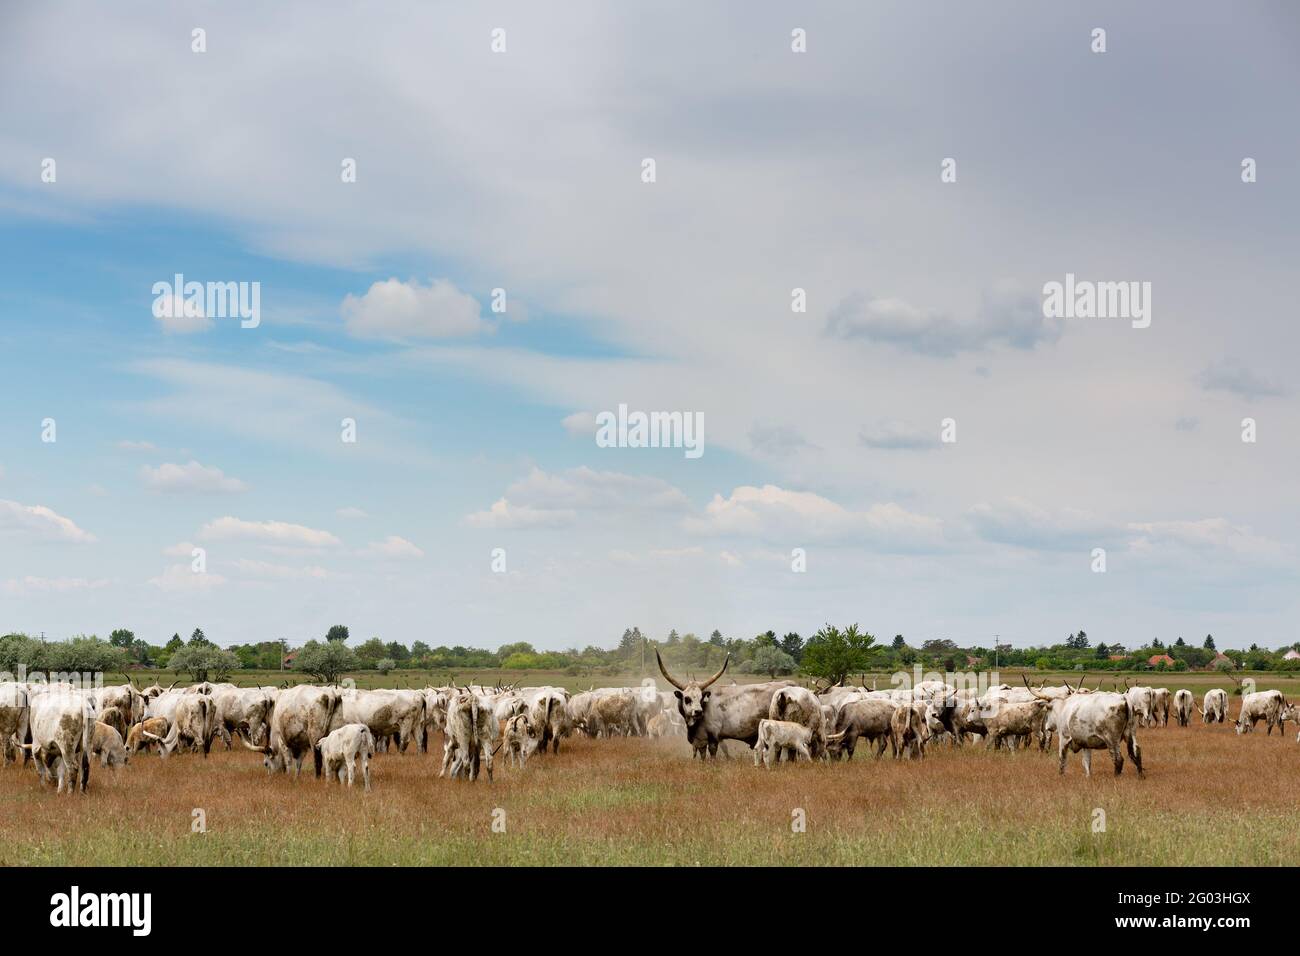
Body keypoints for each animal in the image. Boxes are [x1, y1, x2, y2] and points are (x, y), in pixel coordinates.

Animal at [656, 650, 795, 758]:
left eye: (701, 698)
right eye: (687, 698)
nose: (698, 711)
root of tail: (788, 685)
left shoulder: (713, 736)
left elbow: (713, 752)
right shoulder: (700, 740)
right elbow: (702, 755)